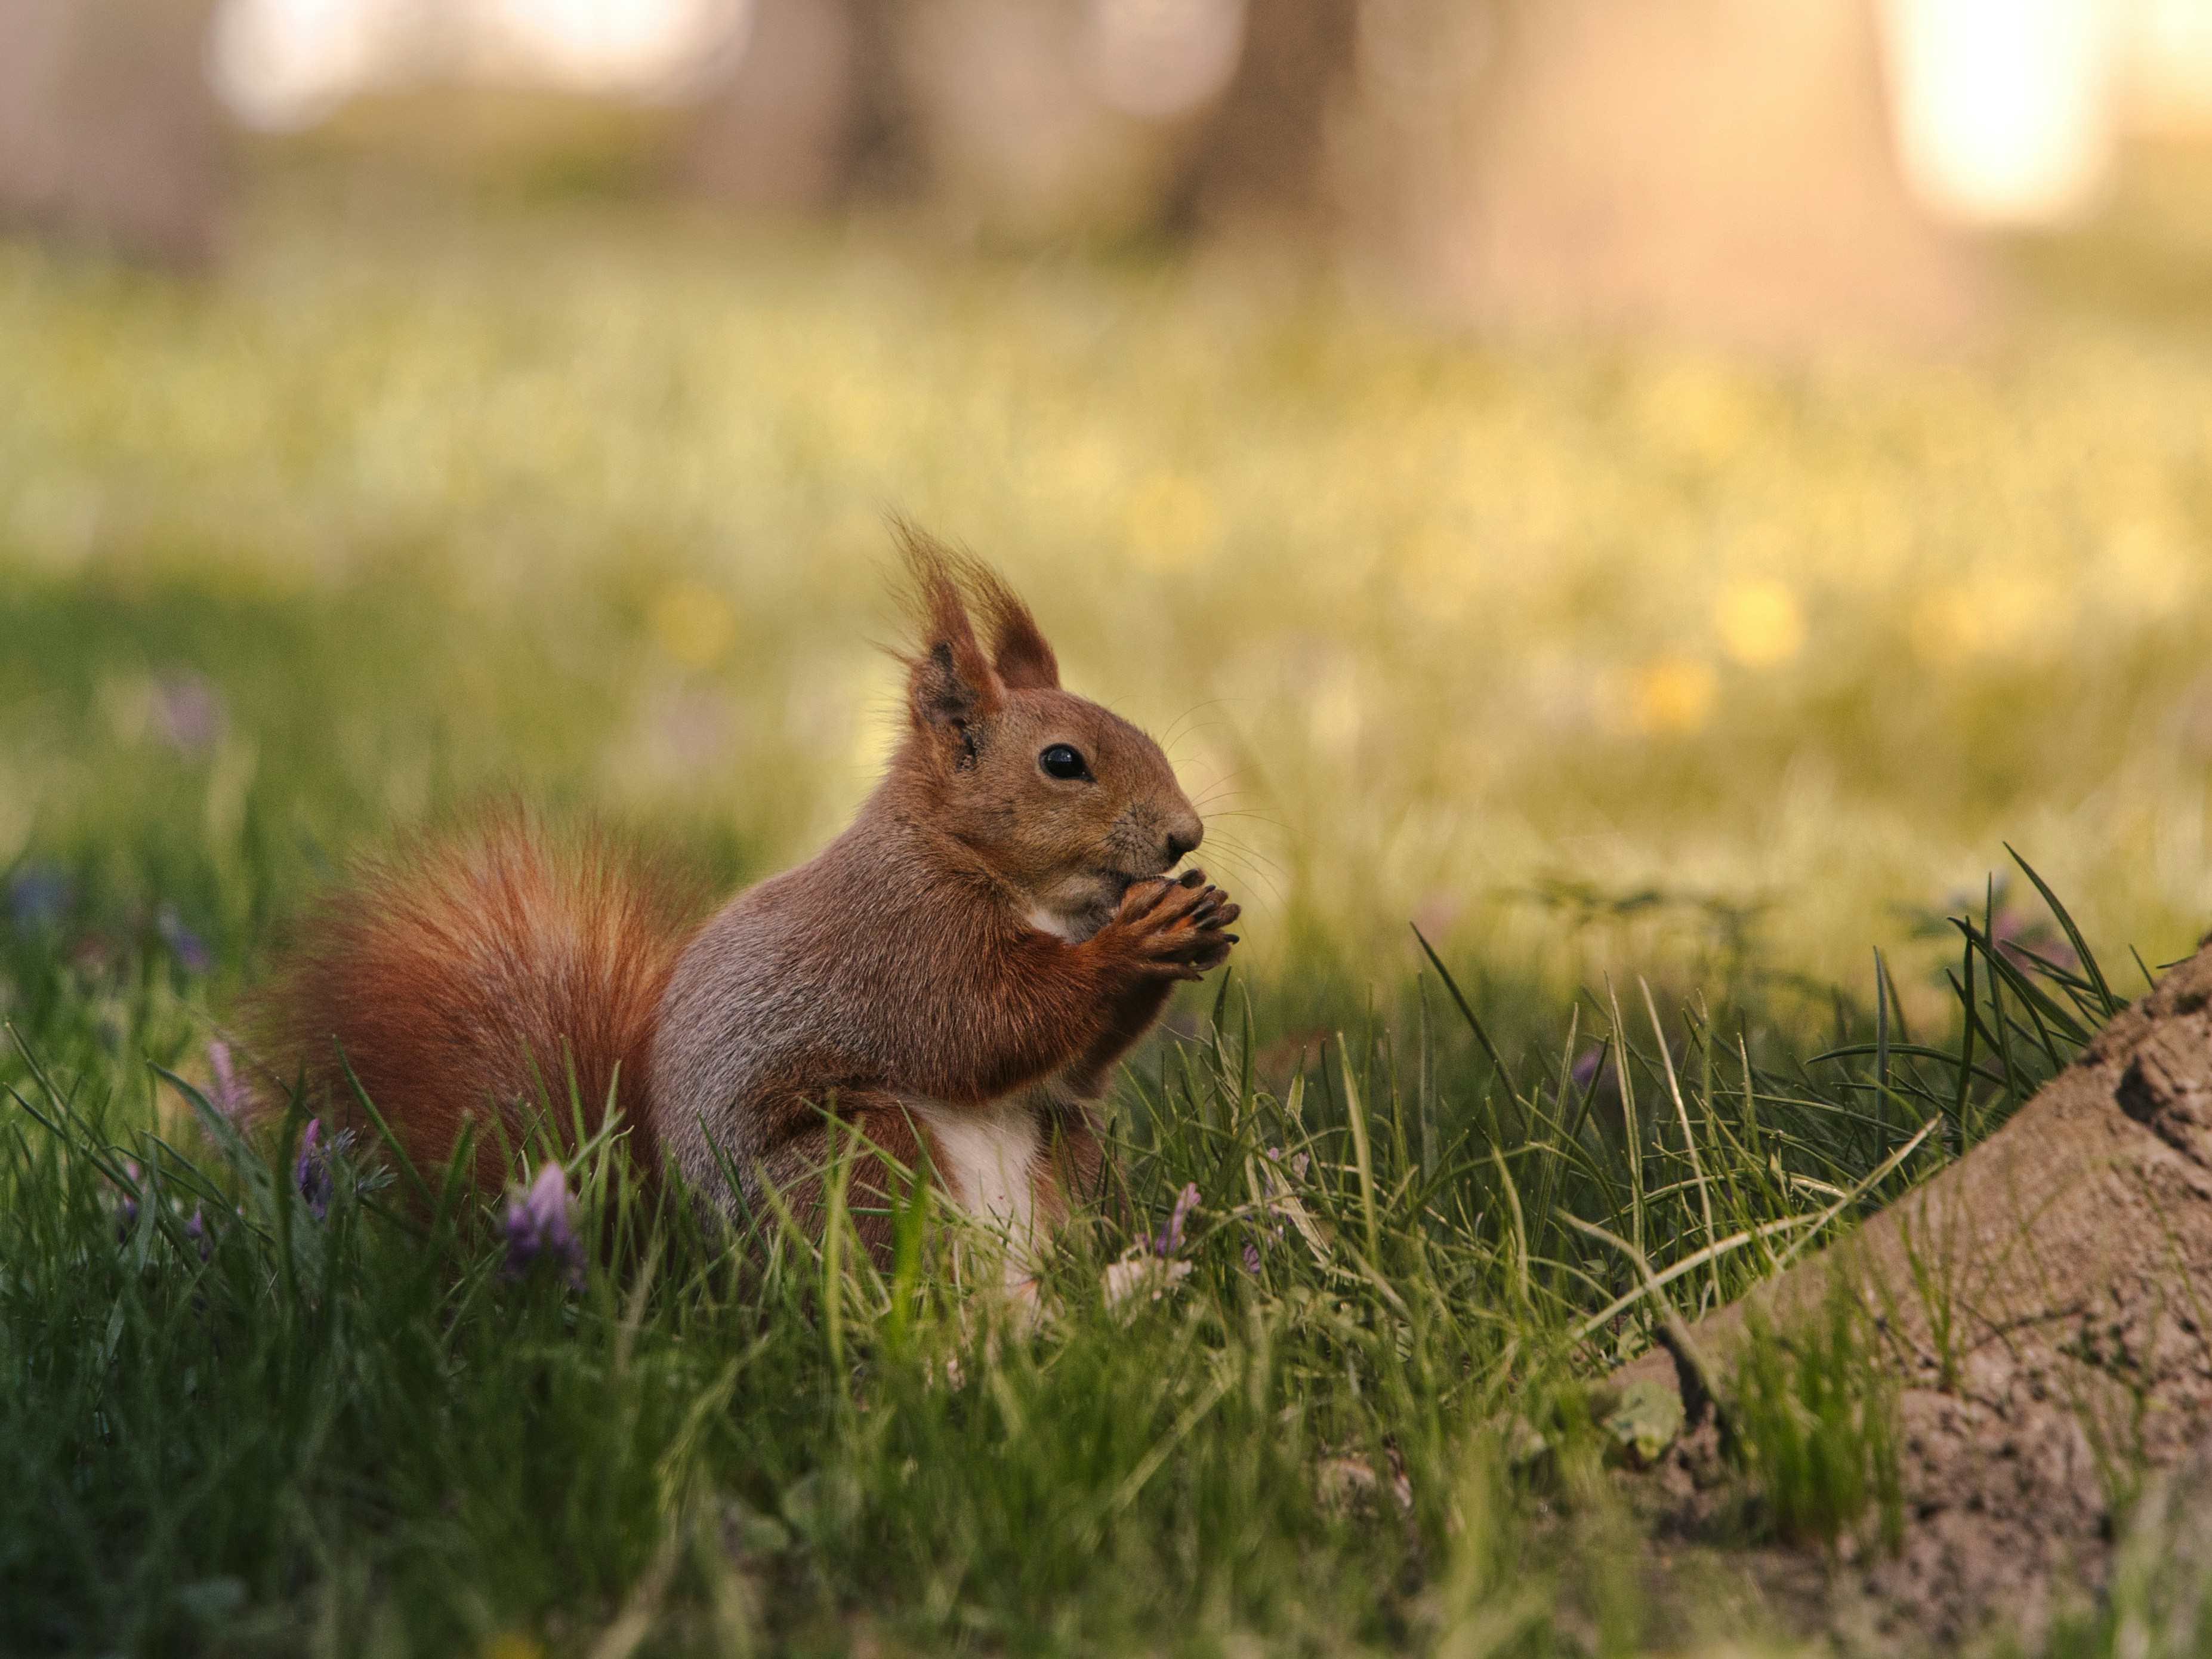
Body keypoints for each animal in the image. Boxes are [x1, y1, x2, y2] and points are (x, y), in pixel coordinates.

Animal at [253, 527, 1239, 1269]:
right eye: (1062, 763)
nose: (1184, 835)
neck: (1011, 883)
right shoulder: (899, 935)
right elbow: (979, 1024)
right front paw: (1130, 944)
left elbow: (1073, 1064)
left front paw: (1196, 919)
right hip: (857, 1164)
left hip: (1067, 1154)